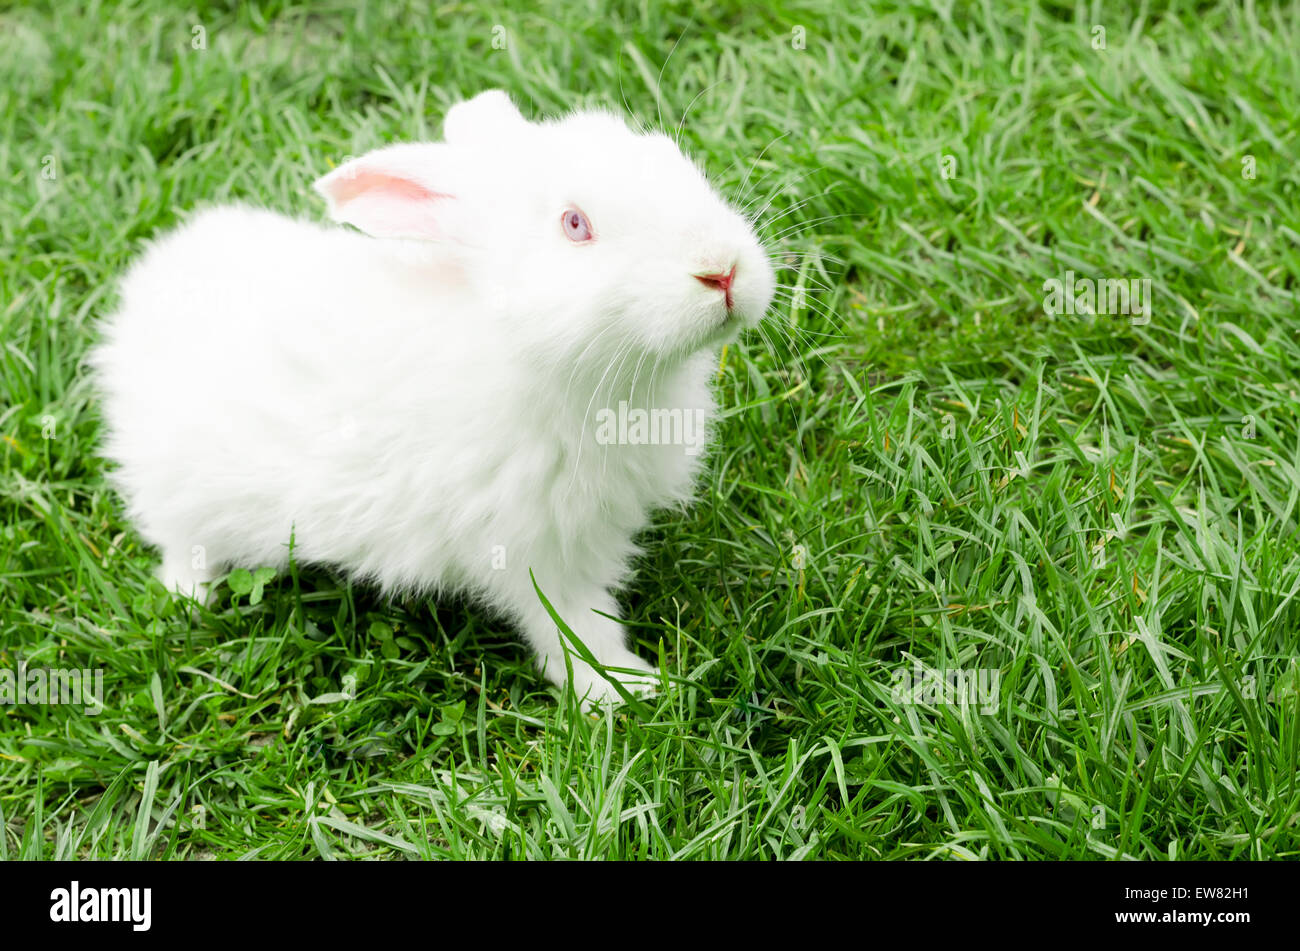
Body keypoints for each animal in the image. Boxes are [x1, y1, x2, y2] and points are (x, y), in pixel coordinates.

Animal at [91, 89, 775, 704]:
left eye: (668, 155)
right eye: (574, 224)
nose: (721, 270)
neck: (522, 348)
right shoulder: (539, 549)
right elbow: (574, 628)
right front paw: (626, 691)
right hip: (185, 494)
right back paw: (192, 598)